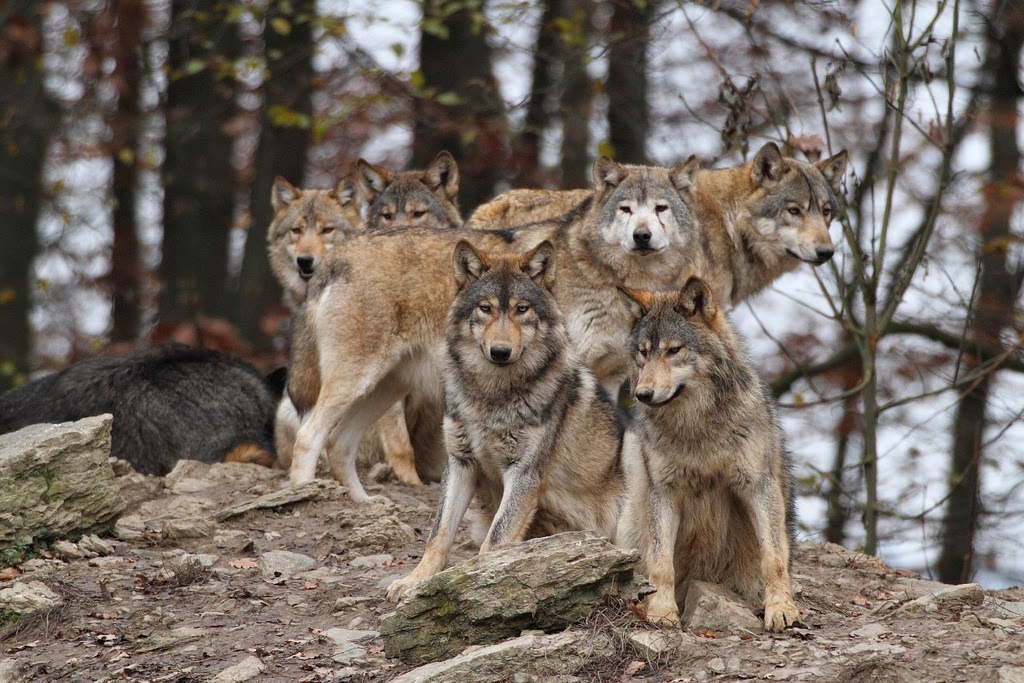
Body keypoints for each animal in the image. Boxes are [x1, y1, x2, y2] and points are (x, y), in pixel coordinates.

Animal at [286, 154, 700, 502]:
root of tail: (338, 254)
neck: (612, 278)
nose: (642, 235)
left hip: (385, 387)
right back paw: (303, 495)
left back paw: (364, 504)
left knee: (339, 443)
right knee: (308, 435)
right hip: (356, 380)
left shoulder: (610, 379)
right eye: (627, 209)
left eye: (660, 209)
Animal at [385, 241, 625, 601]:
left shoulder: (523, 474)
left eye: (521, 309)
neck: (492, 397)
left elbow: (495, 541)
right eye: (485, 308)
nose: (500, 352)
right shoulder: (460, 464)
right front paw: (414, 581)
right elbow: (437, 535)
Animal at [616, 278, 799, 632]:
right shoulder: (664, 491)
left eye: (673, 350)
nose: (642, 395)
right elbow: (661, 562)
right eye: (643, 353)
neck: (696, 429)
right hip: (631, 517)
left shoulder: (758, 486)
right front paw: (662, 611)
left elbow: (773, 558)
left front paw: (781, 609)